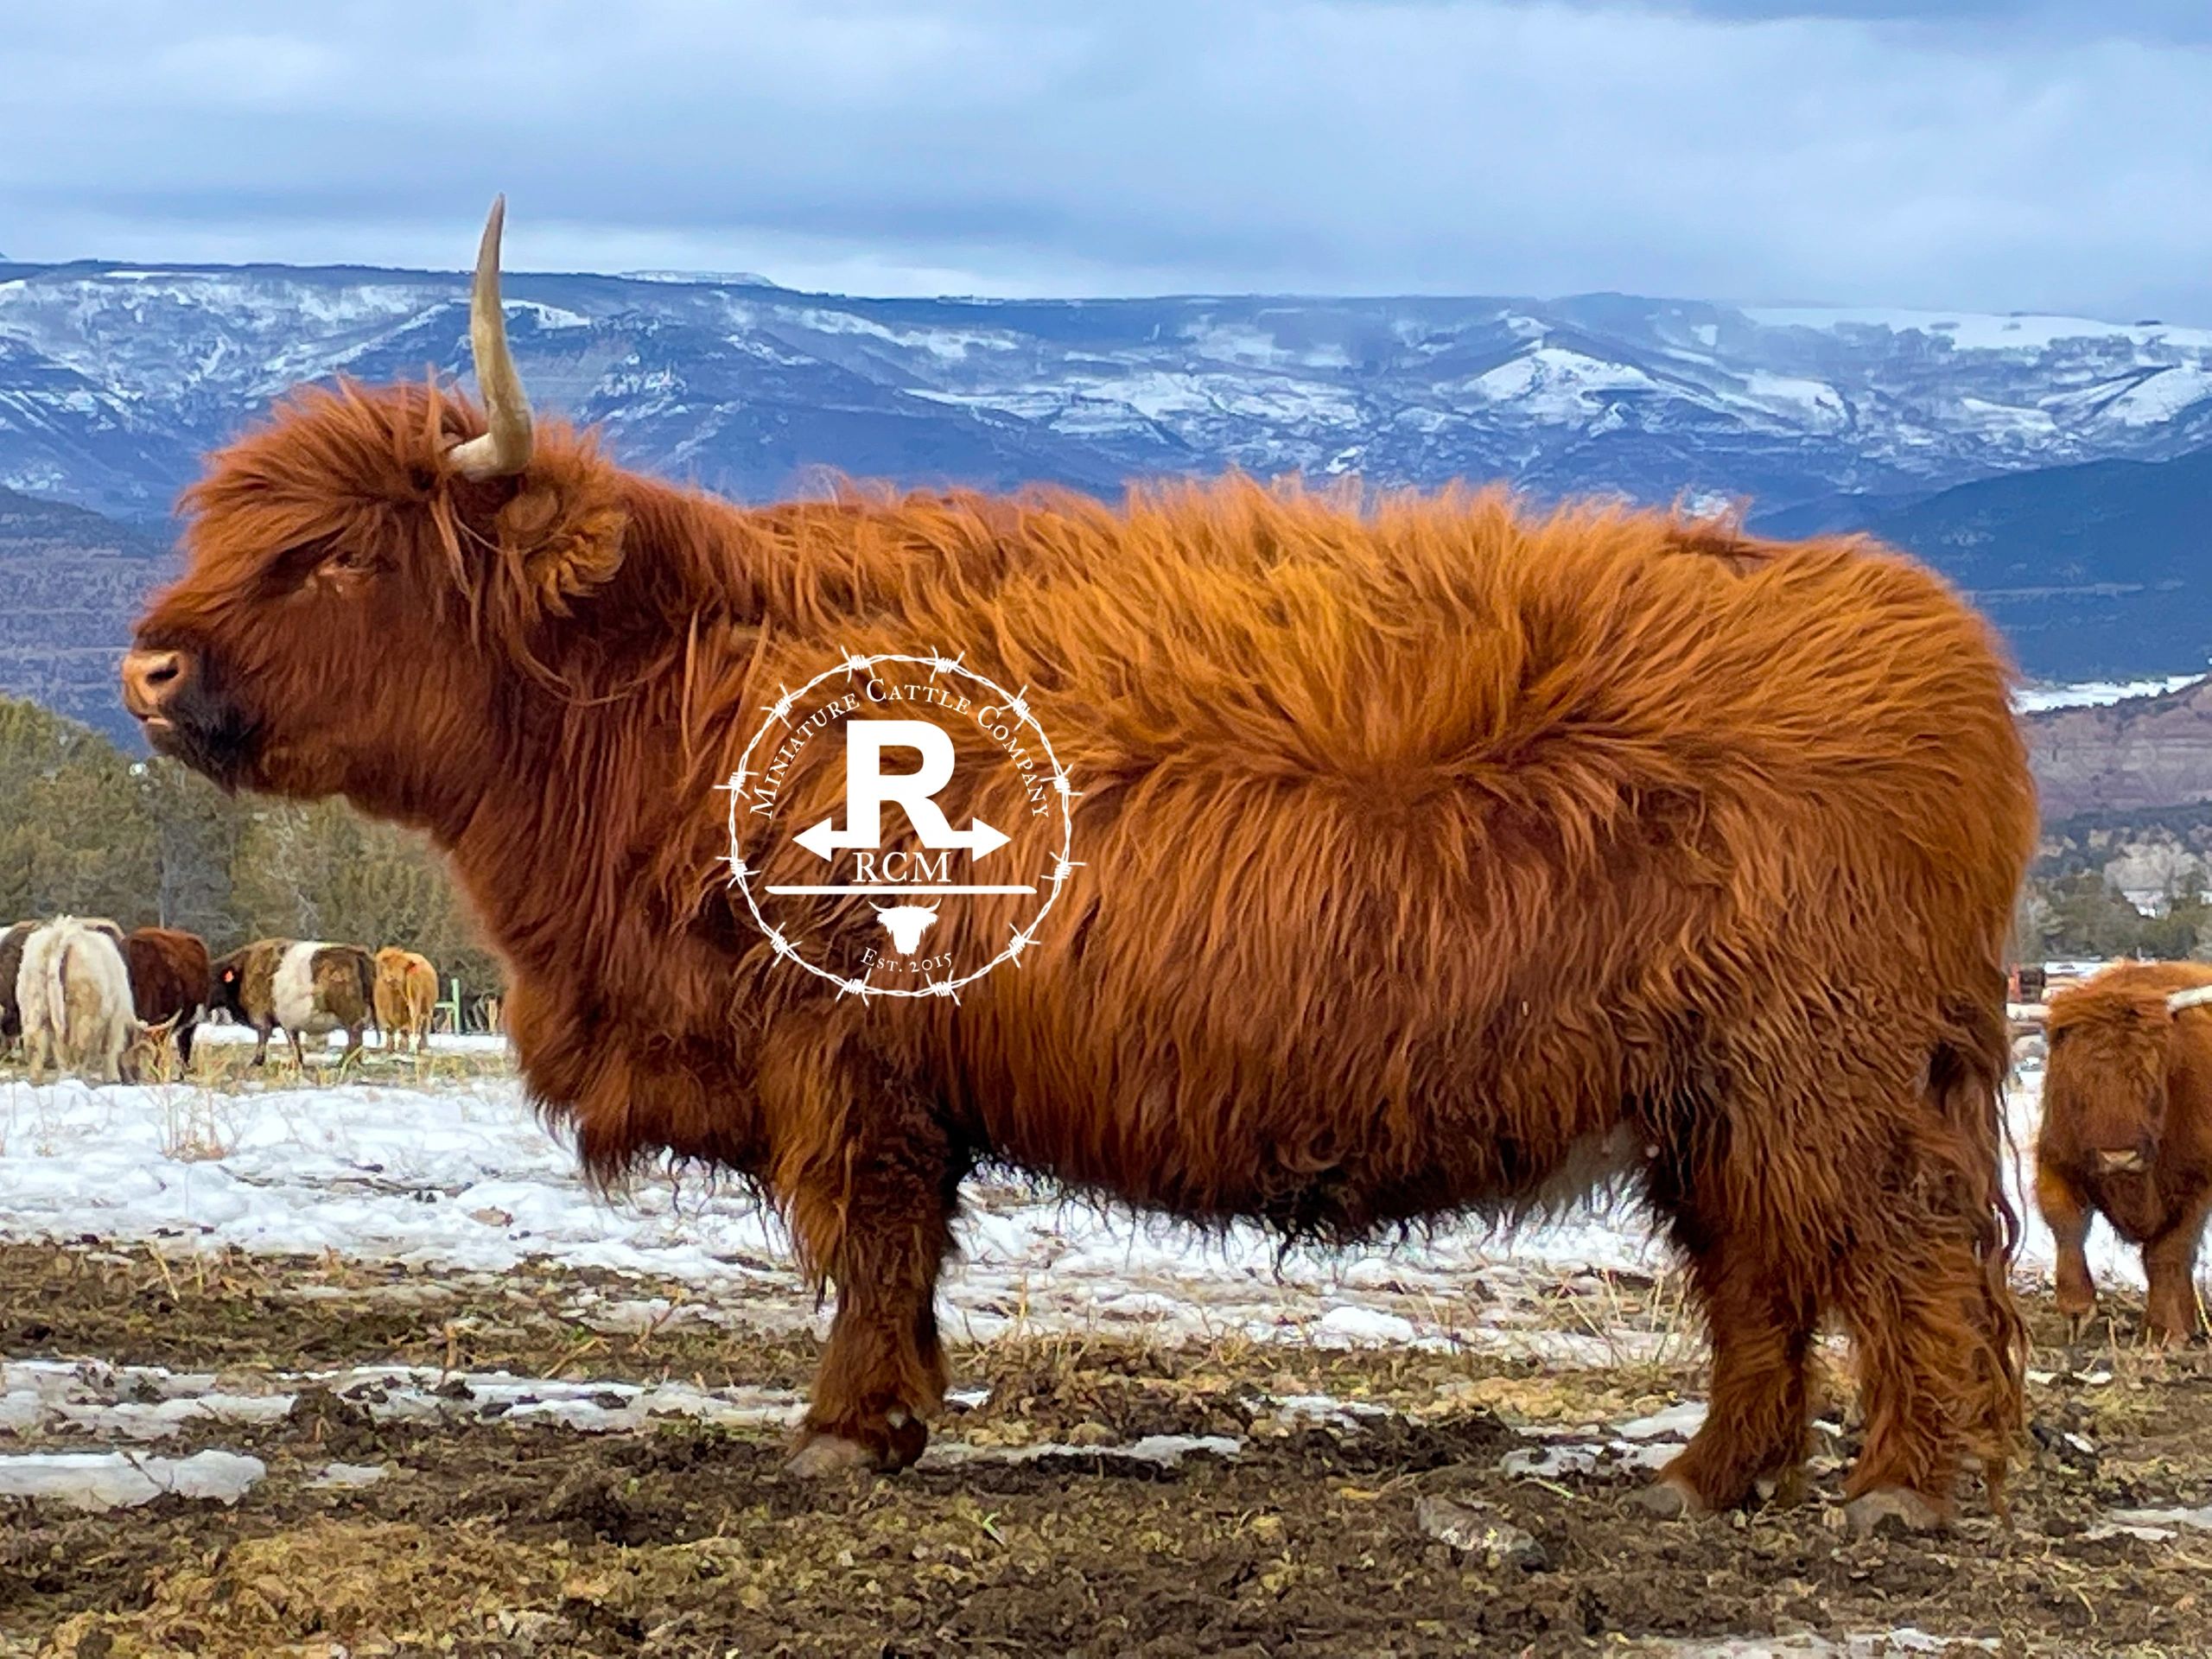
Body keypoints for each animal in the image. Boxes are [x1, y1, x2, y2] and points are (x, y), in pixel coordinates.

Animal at [14, 917, 173, 1083]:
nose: (142, 1078)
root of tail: (62, 937)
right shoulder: (116, 1018)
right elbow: (110, 1048)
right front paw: (112, 1077)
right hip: (83, 1012)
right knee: (78, 1048)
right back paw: (77, 1078)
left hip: (34, 1003)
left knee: (36, 1045)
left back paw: (38, 1079)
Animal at [210, 938, 376, 1066]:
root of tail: (356, 952)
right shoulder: (287, 1022)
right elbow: (294, 1042)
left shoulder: (261, 1016)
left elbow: (265, 1037)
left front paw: (257, 1061)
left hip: (351, 1016)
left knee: (355, 1037)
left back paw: (345, 1063)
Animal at [2036, 961, 2212, 1344]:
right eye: (2079, 1088)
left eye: (2149, 1084)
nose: (2119, 1157)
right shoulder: (2056, 1157)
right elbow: (2065, 1223)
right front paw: (2077, 1306)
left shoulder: (2199, 1181)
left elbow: (2169, 1252)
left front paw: (2165, 1328)